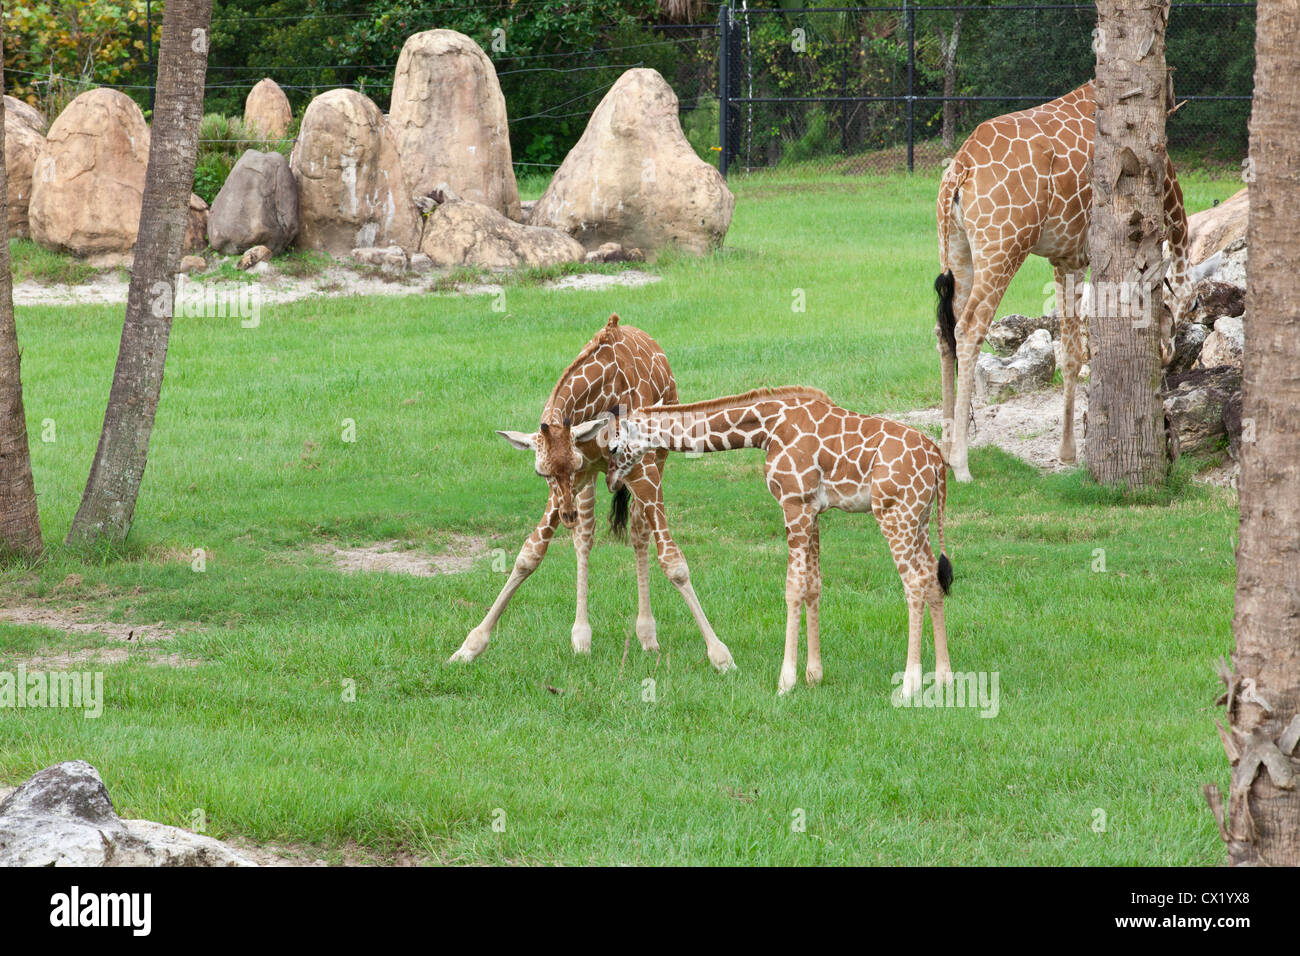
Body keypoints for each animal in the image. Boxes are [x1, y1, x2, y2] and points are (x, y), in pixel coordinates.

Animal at [448, 313, 734, 672]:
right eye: (541, 472)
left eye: (569, 464)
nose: (567, 515)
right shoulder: (574, 480)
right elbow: (529, 555)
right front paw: (468, 647)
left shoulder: (637, 470)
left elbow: (674, 563)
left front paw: (720, 654)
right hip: (592, 482)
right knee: (585, 536)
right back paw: (582, 637)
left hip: (657, 460)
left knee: (639, 533)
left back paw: (647, 636)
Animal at [600, 386, 952, 696]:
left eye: (613, 448)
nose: (612, 482)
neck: (767, 428)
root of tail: (938, 461)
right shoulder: (812, 510)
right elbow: (813, 585)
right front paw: (814, 675)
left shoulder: (794, 503)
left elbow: (793, 587)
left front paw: (786, 682)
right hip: (920, 519)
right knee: (932, 577)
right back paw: (943, 678)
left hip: (895, 514)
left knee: (914, 582)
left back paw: (910, 685)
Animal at [934, 80, 1193, 483]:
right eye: (1172, 318)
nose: (1167, 356)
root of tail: (961, 168)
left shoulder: (1066, 260)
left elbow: (1071, 354)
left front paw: (1069, 452)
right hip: (1003, 245)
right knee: (969, 327)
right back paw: (961, 464)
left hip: (956, 248)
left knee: (945, 327)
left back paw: (945, 451)